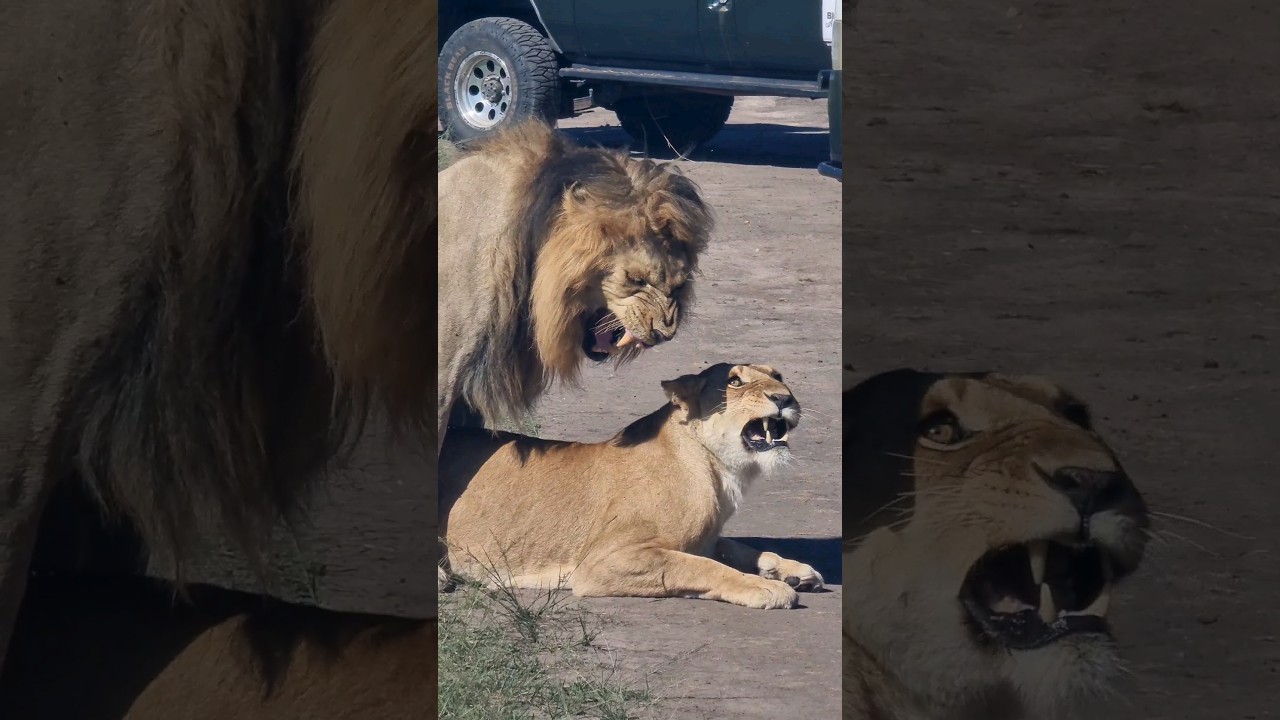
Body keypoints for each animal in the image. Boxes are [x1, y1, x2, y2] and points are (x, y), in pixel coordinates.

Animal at [439, 363, 824, 609]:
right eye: (735, 381)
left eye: (778, 376)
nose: (784, 398)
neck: (720, 471)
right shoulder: (605, 561)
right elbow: (701, 567)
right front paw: (766, 586)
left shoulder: (708, 540)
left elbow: (743, 549)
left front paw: (792, 571)